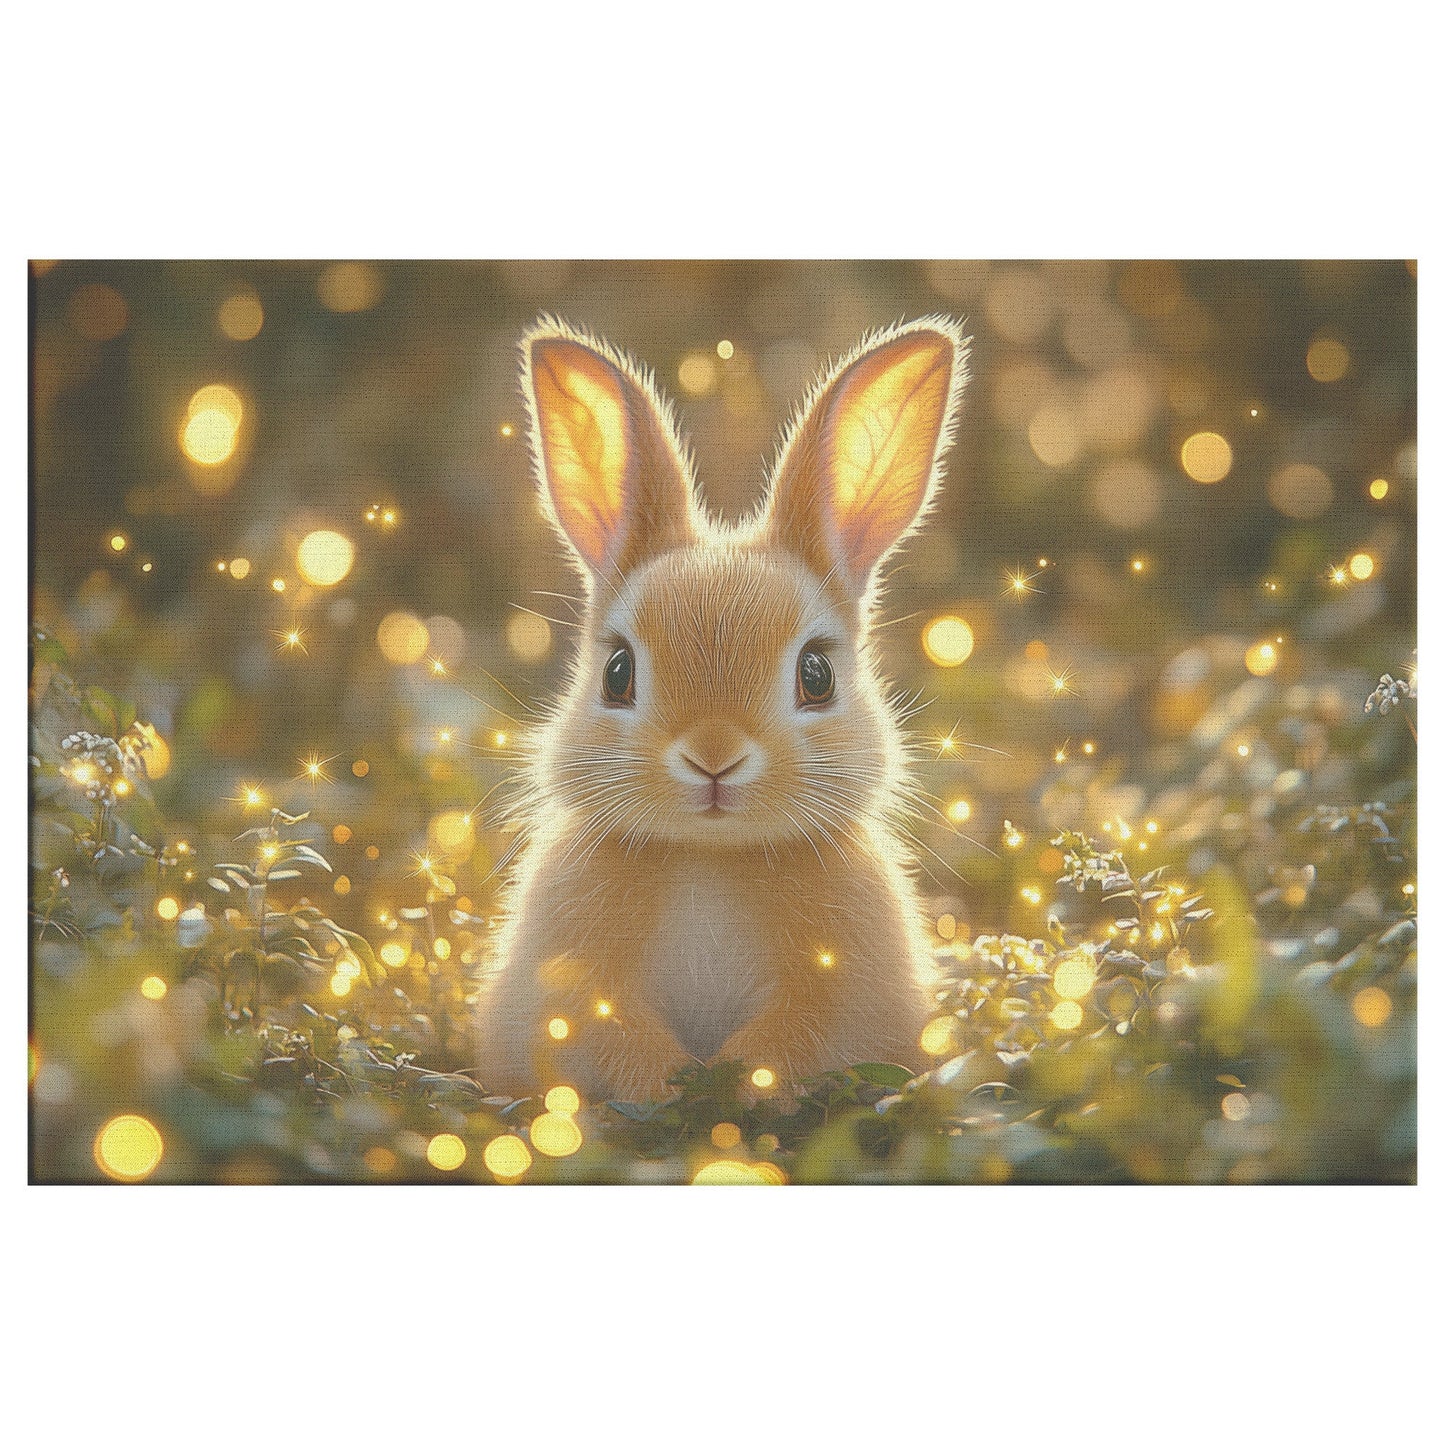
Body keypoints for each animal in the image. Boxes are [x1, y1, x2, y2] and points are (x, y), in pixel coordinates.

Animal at [477, 313, 970, 1103]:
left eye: (816, 674)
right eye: (618, 672)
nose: (714, 757)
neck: (709, 856)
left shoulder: (841, 990)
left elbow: (797, 1034)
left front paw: (737, 1084)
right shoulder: (572, 973)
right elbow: (607, 1030)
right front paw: (669, 1084)